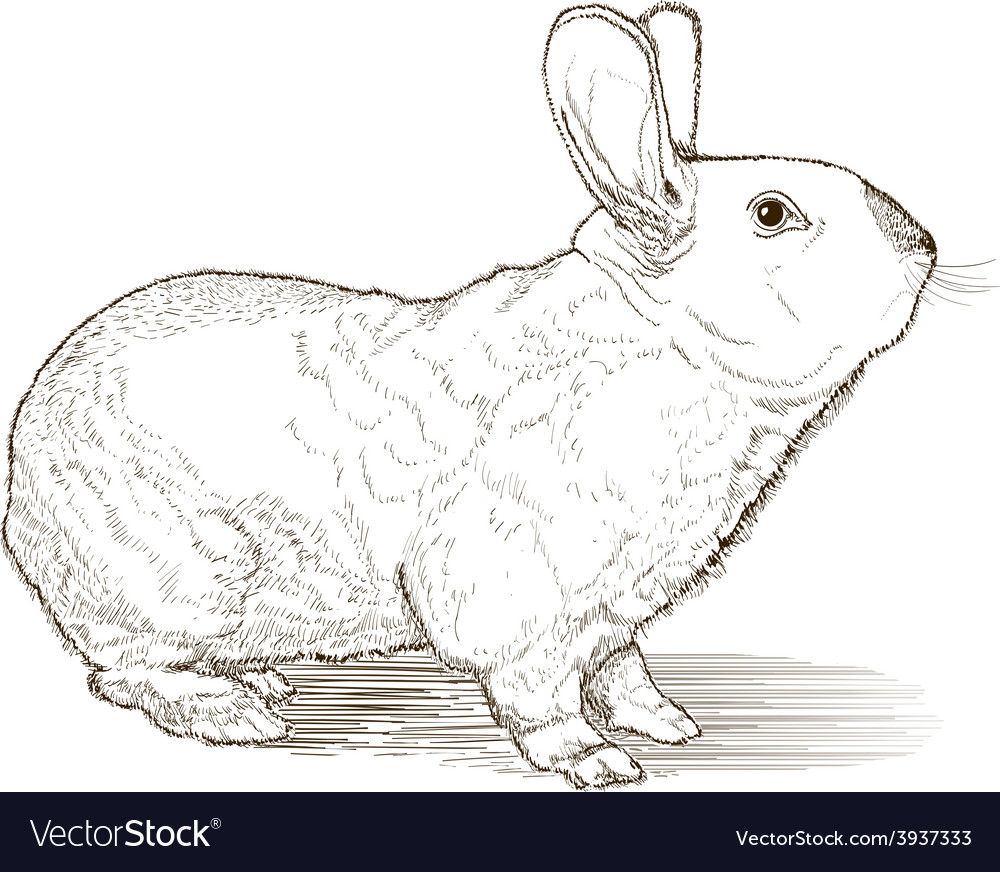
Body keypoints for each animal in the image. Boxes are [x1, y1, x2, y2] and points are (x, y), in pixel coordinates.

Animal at [2, 2, 937, 789]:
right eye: (774, 214)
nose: (922, 244)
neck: (661, 346)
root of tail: (21, 488)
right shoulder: (512, 589)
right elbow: (536, 692)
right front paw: (595, 761)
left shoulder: (616, 605)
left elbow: (620, 666)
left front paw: (666, 722)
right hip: (167, 590)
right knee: (125, 672)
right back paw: (237, 713)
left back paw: (261, 680)